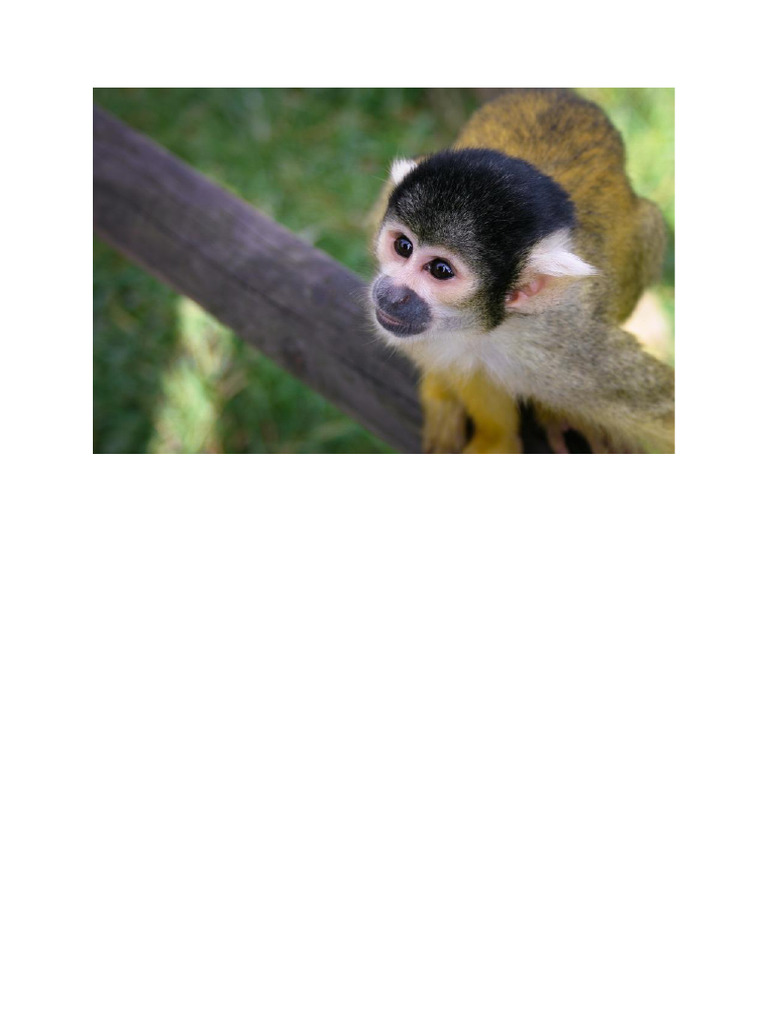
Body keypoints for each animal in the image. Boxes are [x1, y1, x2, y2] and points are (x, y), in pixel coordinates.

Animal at [368, 89, 674, 454]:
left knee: (650, 227)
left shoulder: (572, 350)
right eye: (403, 246)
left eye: (441, 270)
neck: (492, 327)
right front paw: (495, 435)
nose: (392, 294)